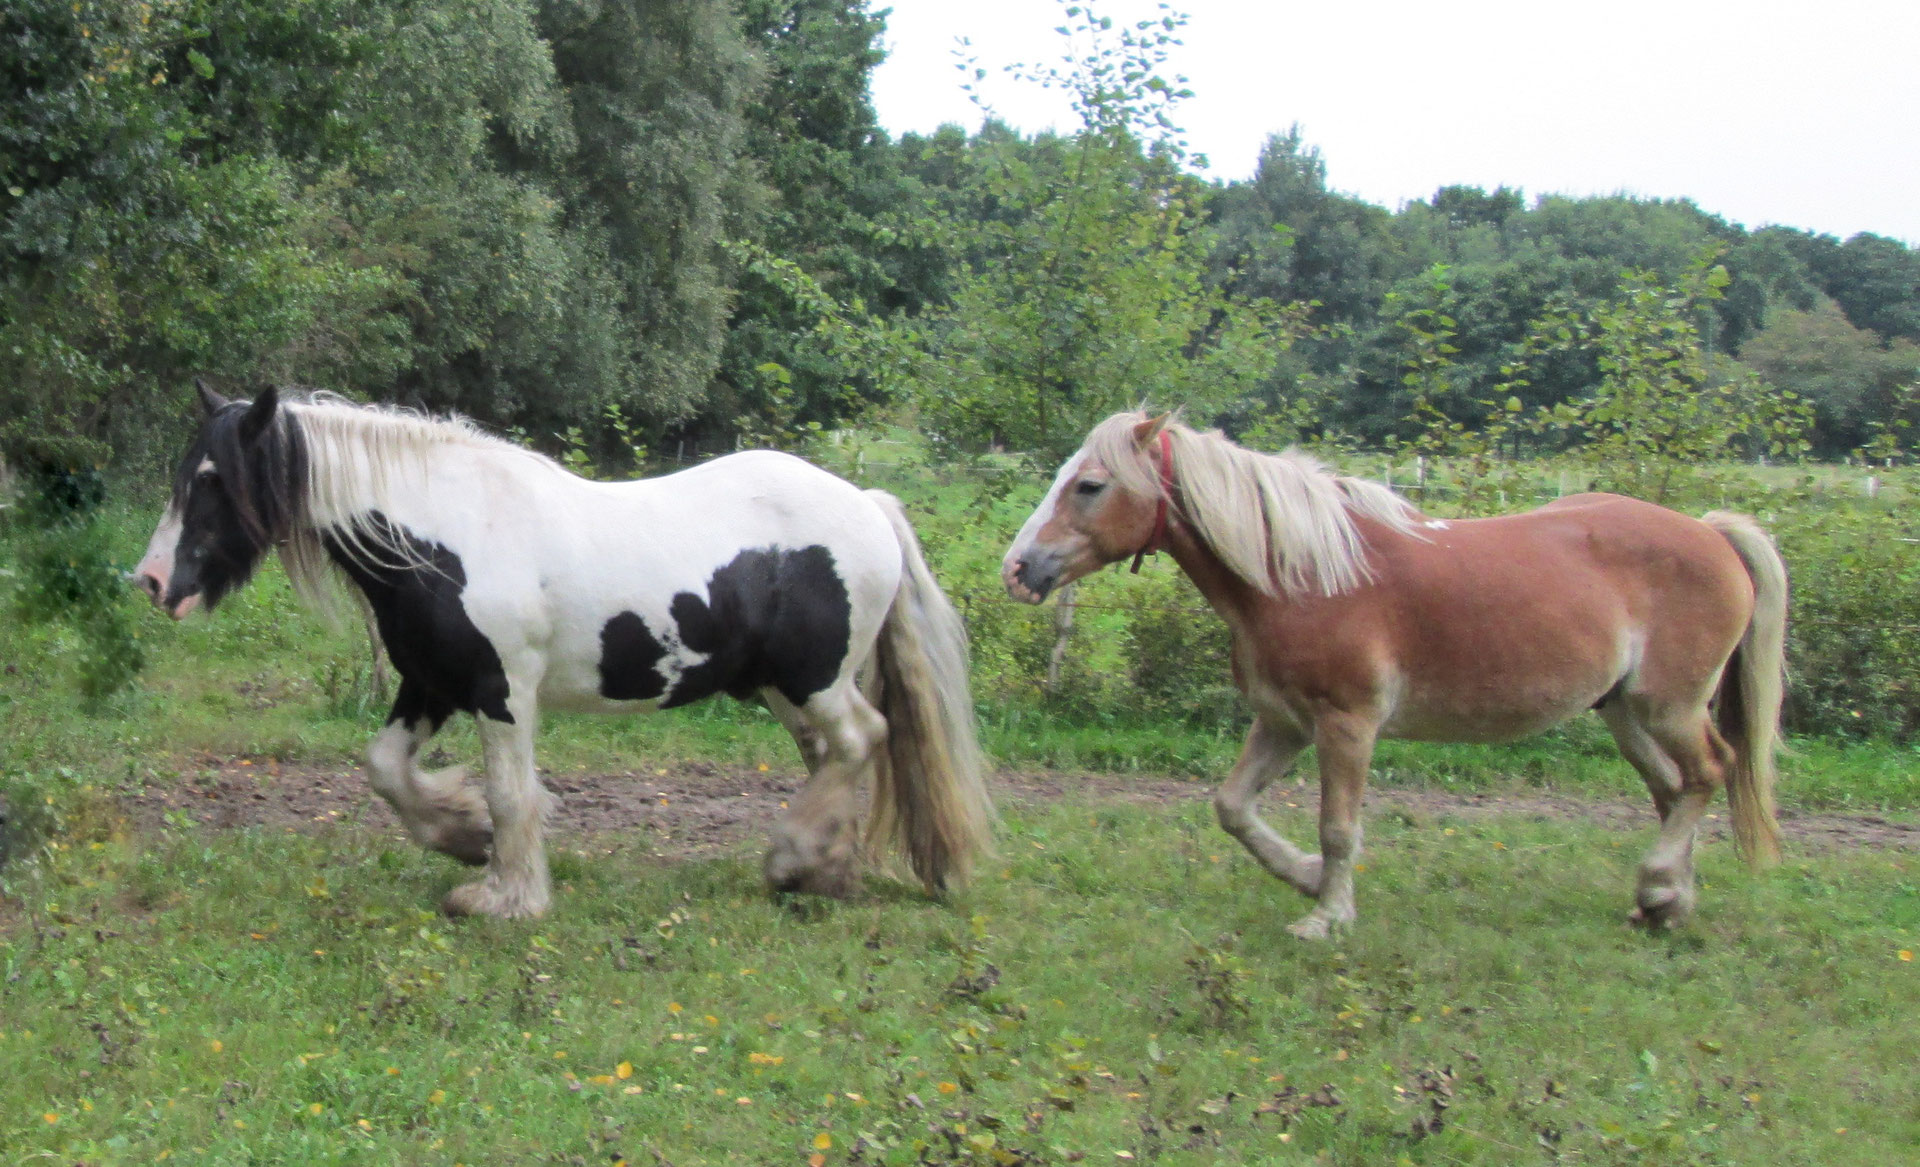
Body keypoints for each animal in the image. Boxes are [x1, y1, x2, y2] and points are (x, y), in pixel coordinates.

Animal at [133, 384, 993, 919]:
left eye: (213, 477)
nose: (151, 579)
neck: (443, 535)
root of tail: (869, 505)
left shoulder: (500, 689)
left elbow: (514, 794)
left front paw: (504, 897)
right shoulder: (431, 682)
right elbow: (385, 769)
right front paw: (463, 837)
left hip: (814, 677)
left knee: (863, 738)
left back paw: (791, 858)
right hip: (778, 685)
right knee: (831, 754)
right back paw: (820, 868)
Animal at [1003, 411, 1787, 939]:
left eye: (1090, 485)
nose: (1018, 568)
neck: (1305, 577)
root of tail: (1711, 532)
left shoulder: (1346, 724)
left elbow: (1338, 826)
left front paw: (1326, 917)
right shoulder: (1284, 721)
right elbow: (1232, 808)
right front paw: (1307, 880)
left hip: (1669, 706)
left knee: (1710, 771)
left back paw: (1658, 888)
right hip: (1623, 712)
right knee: (1673, 789)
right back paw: (1666, 904)